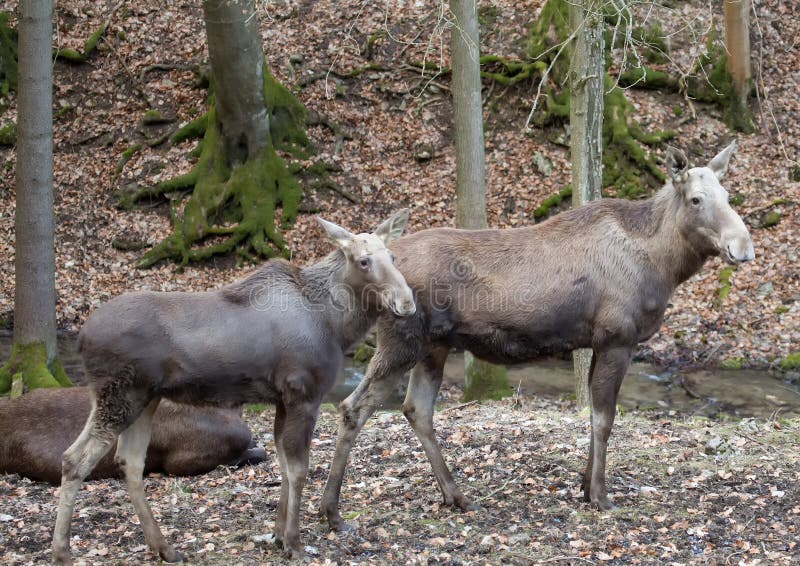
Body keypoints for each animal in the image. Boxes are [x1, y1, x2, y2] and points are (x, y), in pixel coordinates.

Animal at [52, 210, 415, 564]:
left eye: (394, 256)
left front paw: (277, 536)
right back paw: (62, 551)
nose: (407, 301)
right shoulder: (303, 392)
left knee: (129, 461)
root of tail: (81, 339)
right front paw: (294, 543)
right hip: (120, 396)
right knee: (74, 459)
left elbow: (283, 465)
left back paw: (164, 548)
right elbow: (299, 469)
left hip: (144, 399)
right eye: (363, 261)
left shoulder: (281, 399)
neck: (336, 326)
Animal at [319, 143, 755, 531]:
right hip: (402, 339)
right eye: (696, 199)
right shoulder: (618, 338)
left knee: (415, 409)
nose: (743, 247)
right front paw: (600, 495)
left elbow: (593, 416)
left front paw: (584, 486)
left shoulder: (596, 342)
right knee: (354, 406)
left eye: (728, 195)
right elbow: (604, 418)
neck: (664, 267)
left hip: (434, 345)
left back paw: (455, 496)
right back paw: (331, 511)